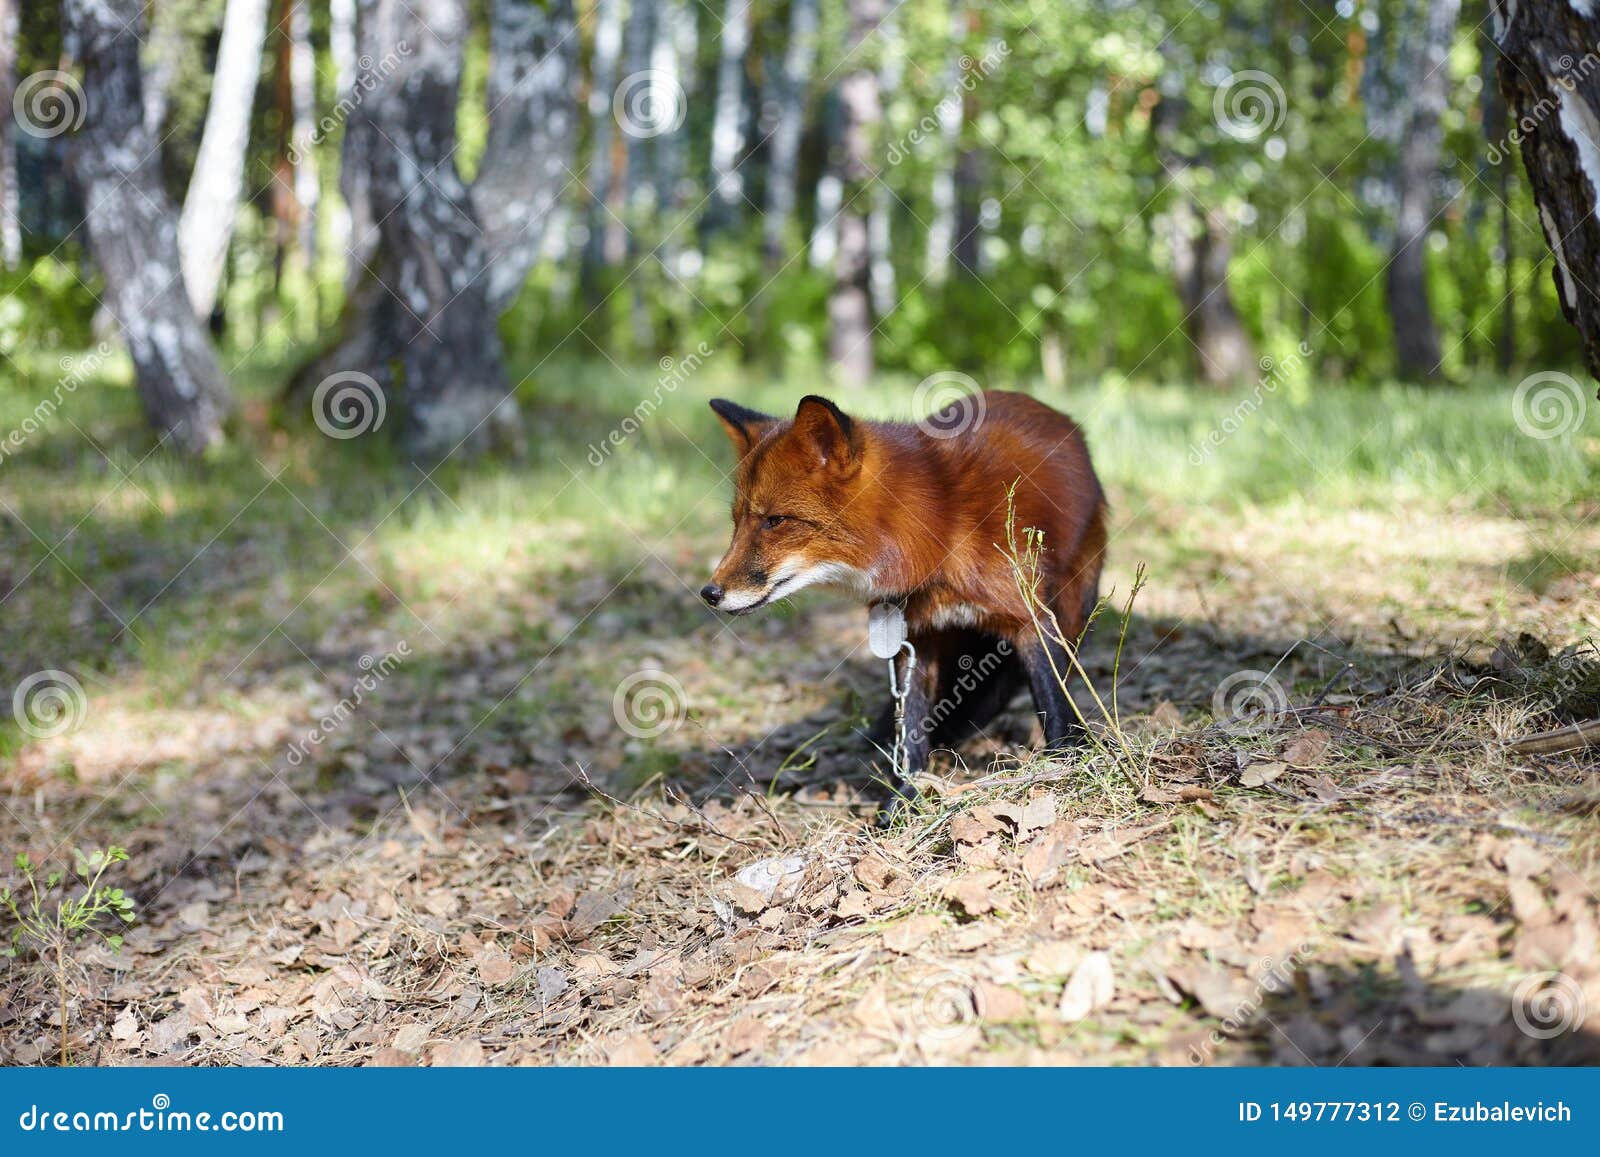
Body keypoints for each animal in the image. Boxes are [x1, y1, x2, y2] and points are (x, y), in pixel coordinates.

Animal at [701, 391, 1107, 804]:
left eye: (776, 521)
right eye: (737, 522)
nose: (709, 593)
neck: (942, 527)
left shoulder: (1031, 620)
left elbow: (1053, 703)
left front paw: (1068, 766)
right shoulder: (914, 640)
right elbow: (911, 728)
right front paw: (904, 800)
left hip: (1071, 609)